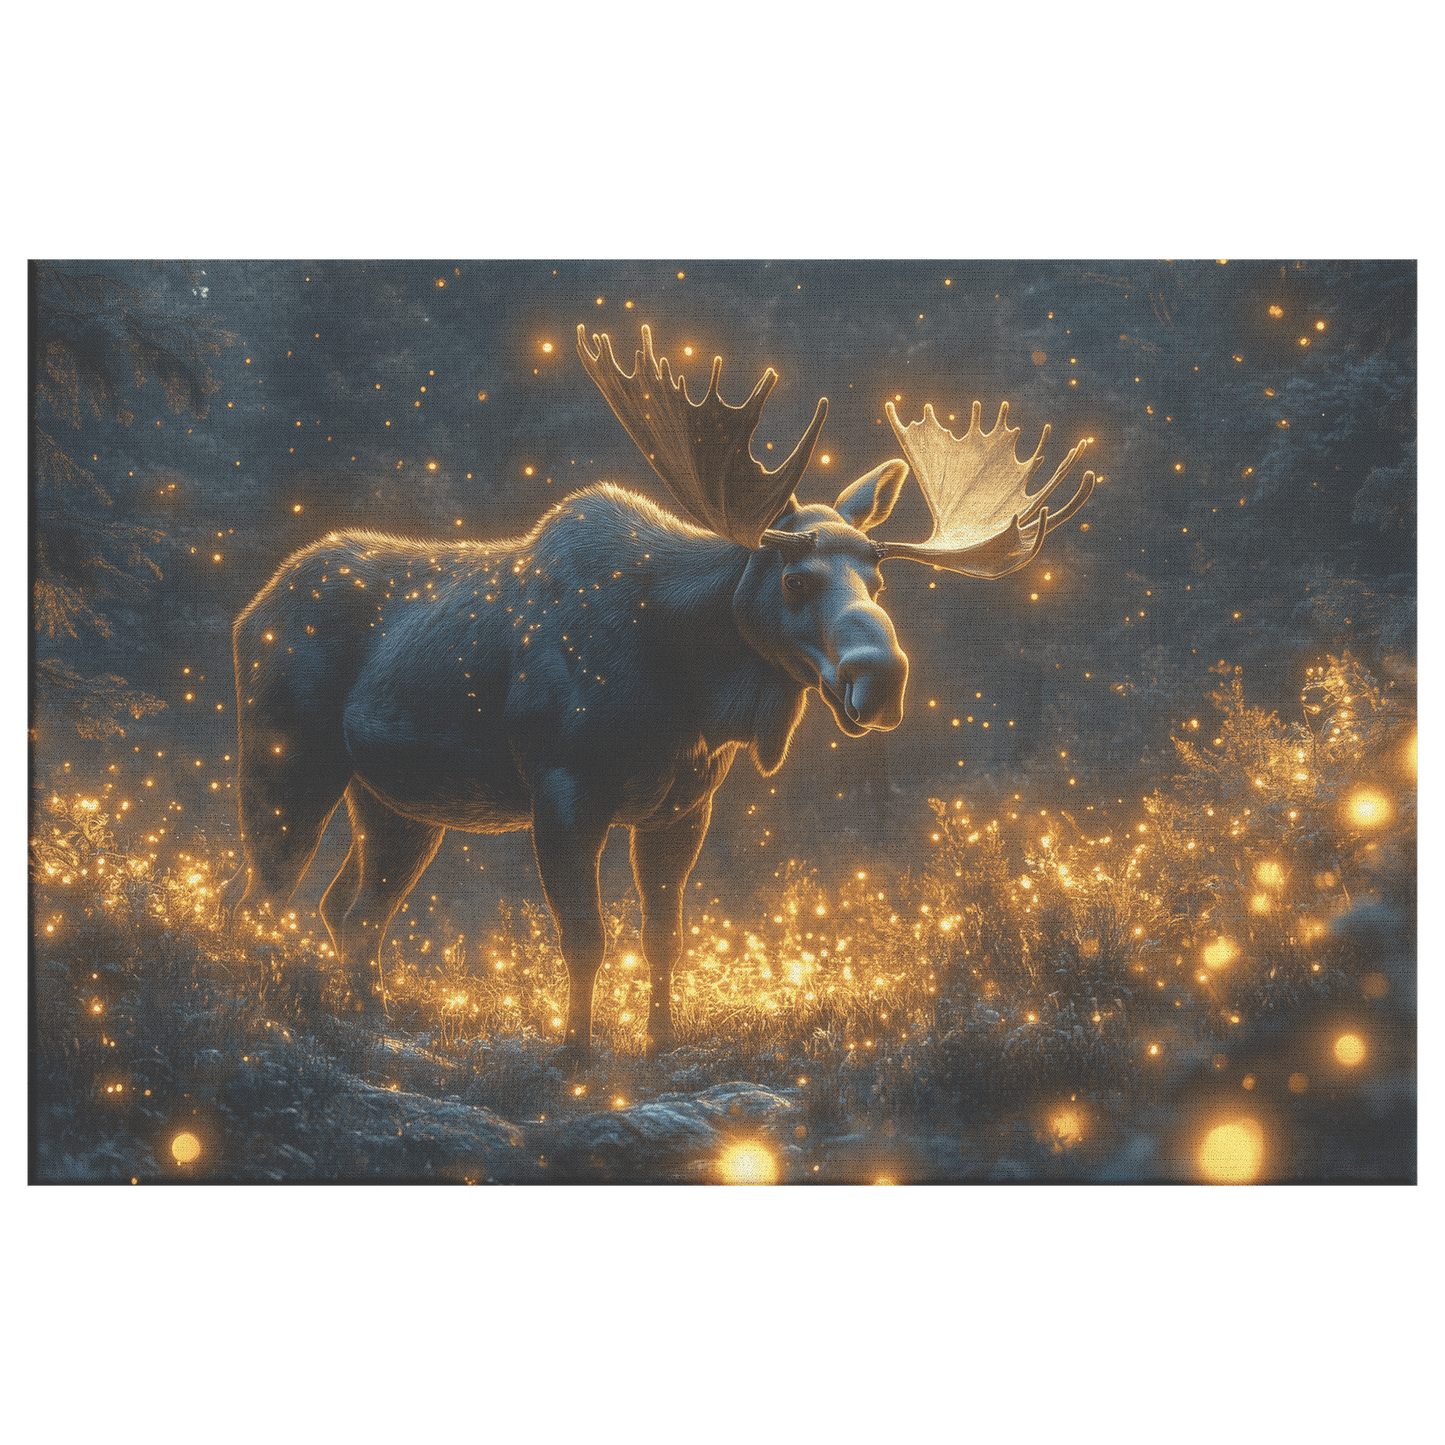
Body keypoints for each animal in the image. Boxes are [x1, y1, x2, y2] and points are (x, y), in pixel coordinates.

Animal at [230, 325, 1094, 1060]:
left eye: (877, 578)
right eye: (797, 577)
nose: (879, 676)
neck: (689, 695)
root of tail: (250, 609)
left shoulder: (682, 805)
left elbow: (662, 936)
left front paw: (660, 1040)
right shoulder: (563, 788)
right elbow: (586, 937)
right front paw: (575, 1051)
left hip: (398, 803)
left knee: (349, 911)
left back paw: (370, 1024)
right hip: (286, 761)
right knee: (263, 894)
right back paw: (263, 1013)